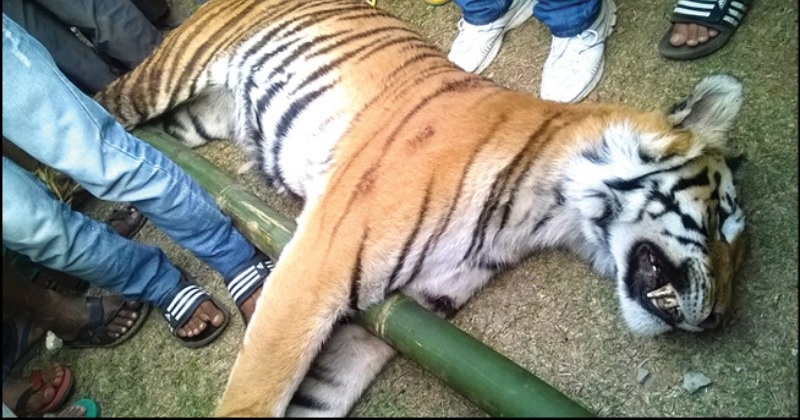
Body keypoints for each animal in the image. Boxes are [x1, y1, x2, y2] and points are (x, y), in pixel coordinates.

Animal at [93, 0, 747, 416]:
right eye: (719, 222)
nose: (719, 321)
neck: (546, 213)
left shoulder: (410, 312)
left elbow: (320, 393)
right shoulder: (316, 263)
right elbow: (257, 390)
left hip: (198, 119)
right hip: (162, 78)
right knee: (99, 108)